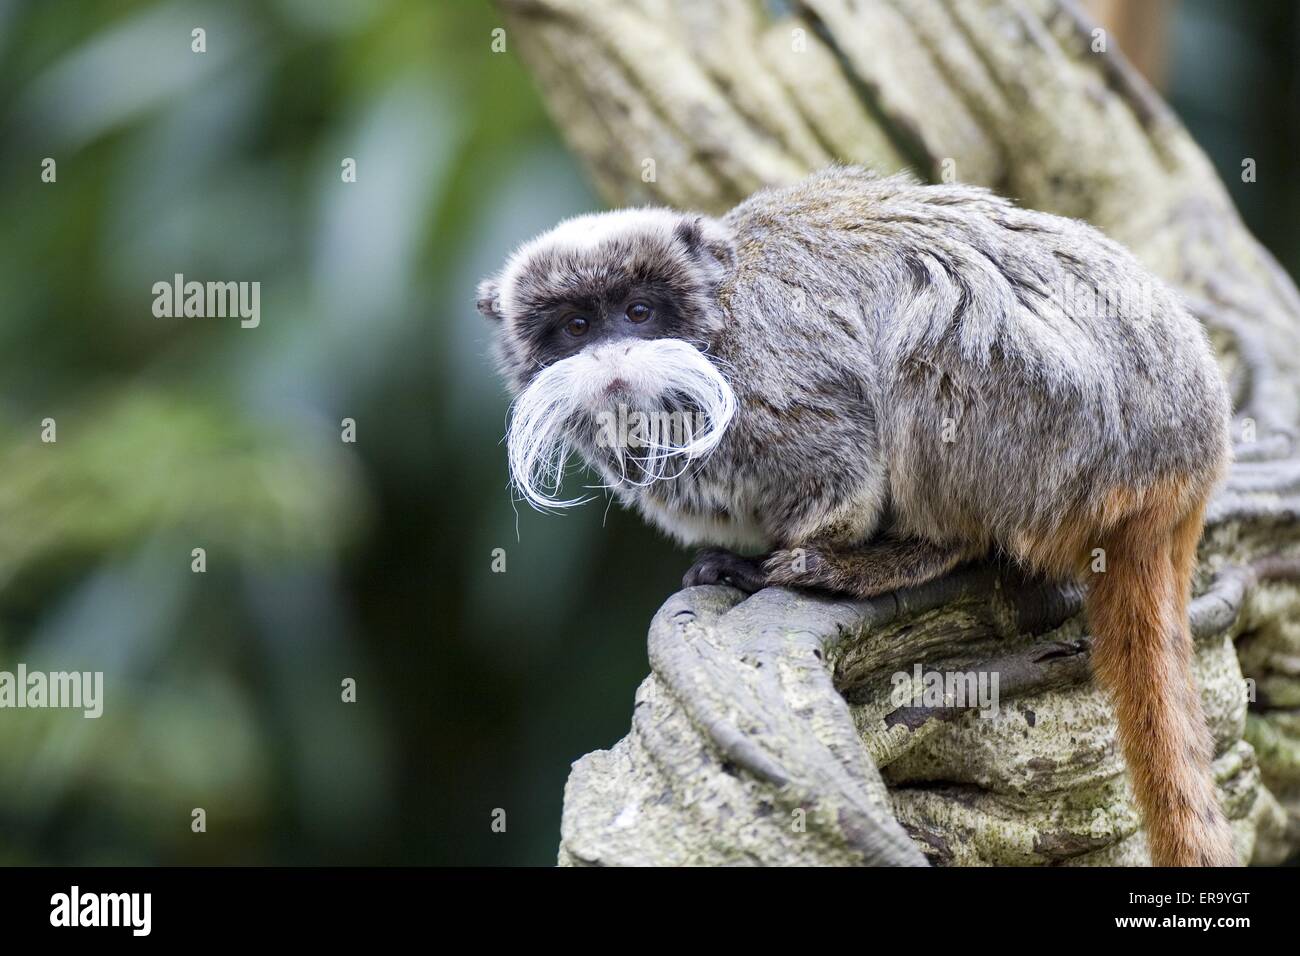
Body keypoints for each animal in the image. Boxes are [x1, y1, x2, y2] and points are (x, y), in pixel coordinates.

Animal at [476, 166, 1236, 867]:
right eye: (577, 327)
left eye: (638, 312)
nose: (616, 358)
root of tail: (1186, 461)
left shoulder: (766, 370)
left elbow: (844, 457)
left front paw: (772, 568)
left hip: (1062, 432)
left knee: (946, 319)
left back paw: (907, 556)